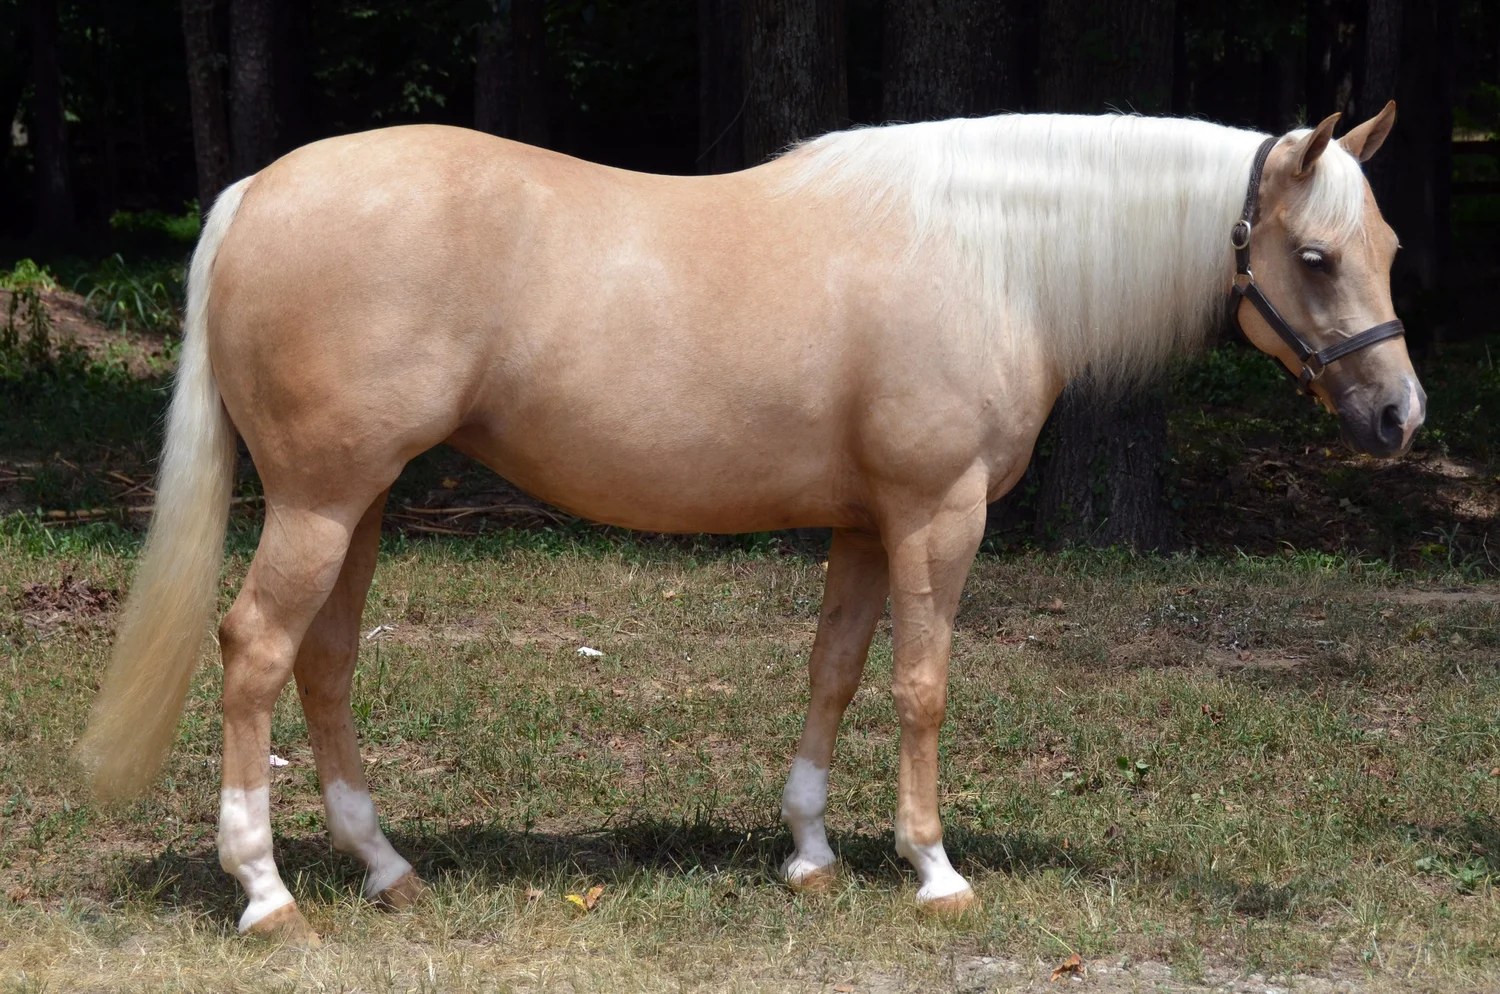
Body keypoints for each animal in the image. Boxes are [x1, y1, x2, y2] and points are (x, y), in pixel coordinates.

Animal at [76, 102, 1422, 945]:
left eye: (1390, 243)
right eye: (1313, 255)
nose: (1400, 414)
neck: (990, 256)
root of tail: (257, 192)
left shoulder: (866, 526)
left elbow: (834, 672)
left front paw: (812, 855)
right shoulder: (938, 514)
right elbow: (922, 686)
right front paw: (934, 871)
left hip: (359, 505)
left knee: (326, 663)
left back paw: (386, 871)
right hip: (319, 501)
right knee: (256, 651)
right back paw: (266, 893)